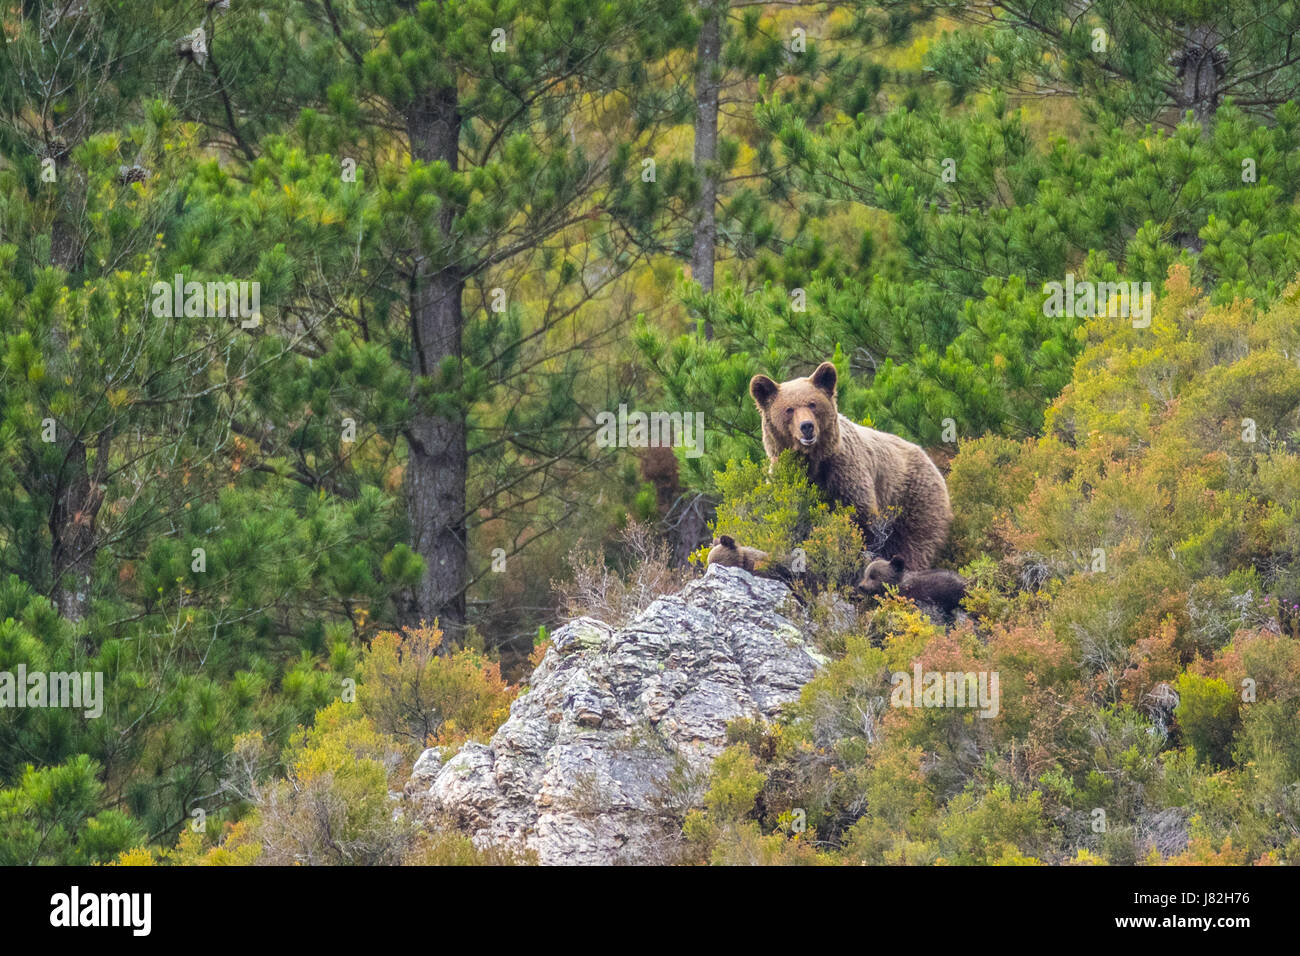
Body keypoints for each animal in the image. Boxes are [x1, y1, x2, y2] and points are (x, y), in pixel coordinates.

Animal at [750, 361, 952, 570]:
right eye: (789, 409)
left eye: (812, 404)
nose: (806, 426)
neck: (813, 461)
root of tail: (929, 458)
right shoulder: (785, 479)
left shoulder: (844, 473)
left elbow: (858, 516)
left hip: (913, 498)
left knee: (915, 543)